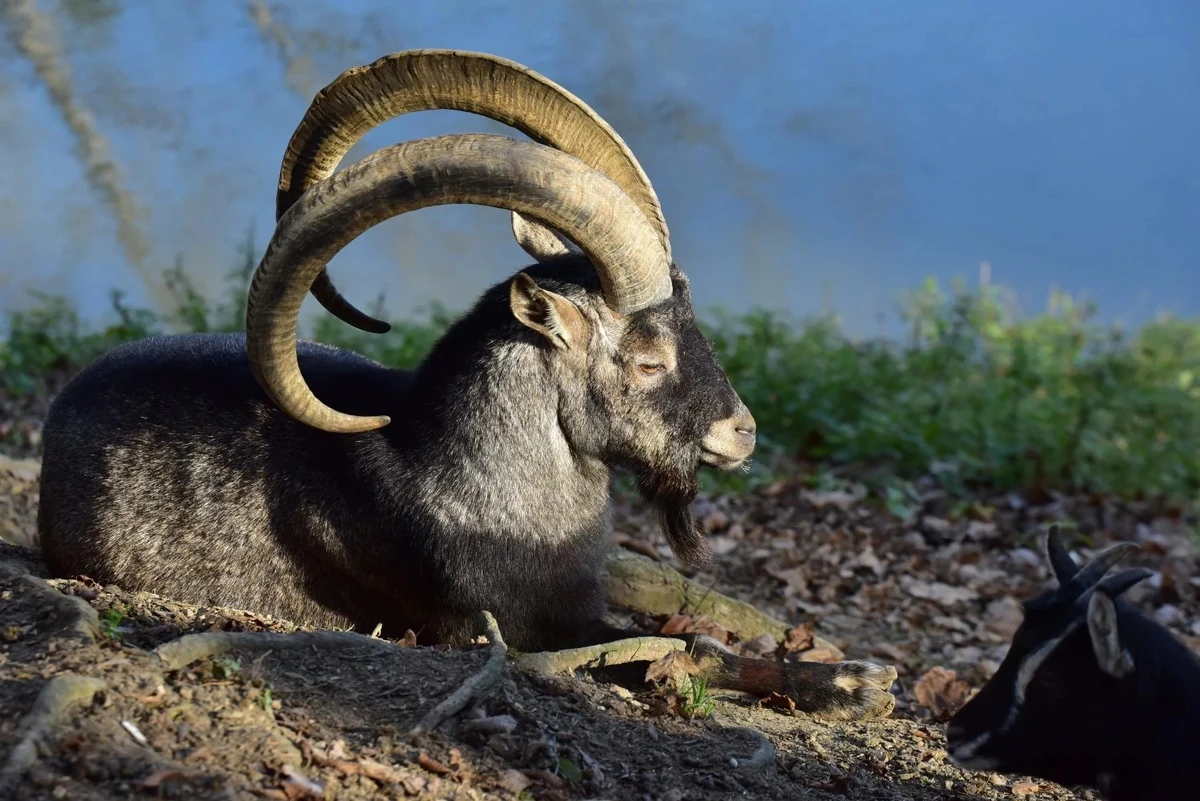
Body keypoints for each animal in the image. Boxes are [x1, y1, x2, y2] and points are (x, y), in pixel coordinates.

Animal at [37, 50, 897, 720]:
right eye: (647, 358)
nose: (740, 431)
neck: (460, 481)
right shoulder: (510, 627)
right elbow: (690, 648)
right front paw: (860, 681)